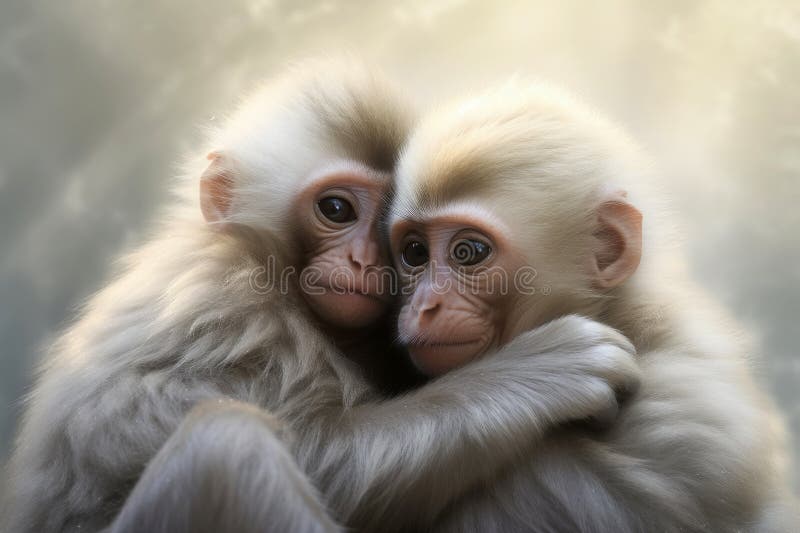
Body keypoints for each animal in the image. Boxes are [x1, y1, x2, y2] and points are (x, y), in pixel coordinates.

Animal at [1, 61, 642, 533]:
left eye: (397, 238)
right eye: (336, 209)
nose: (366, 262)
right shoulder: (222, 316)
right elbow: (321, 460)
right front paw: (541, 371)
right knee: (227, 448)